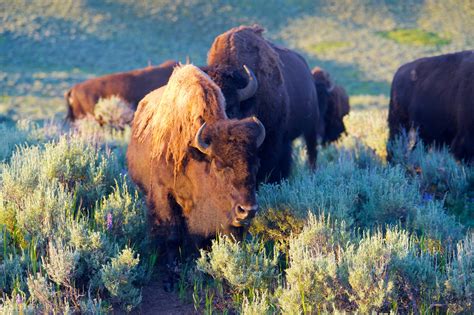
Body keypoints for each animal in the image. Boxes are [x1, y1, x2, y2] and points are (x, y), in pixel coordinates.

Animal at [126, 64, 266, 288]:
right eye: (219, 164)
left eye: (256, 163)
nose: (247, 211)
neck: (194, 155)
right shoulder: (164, 195)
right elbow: (172, 235)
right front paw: (171, 277)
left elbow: (198, 238)